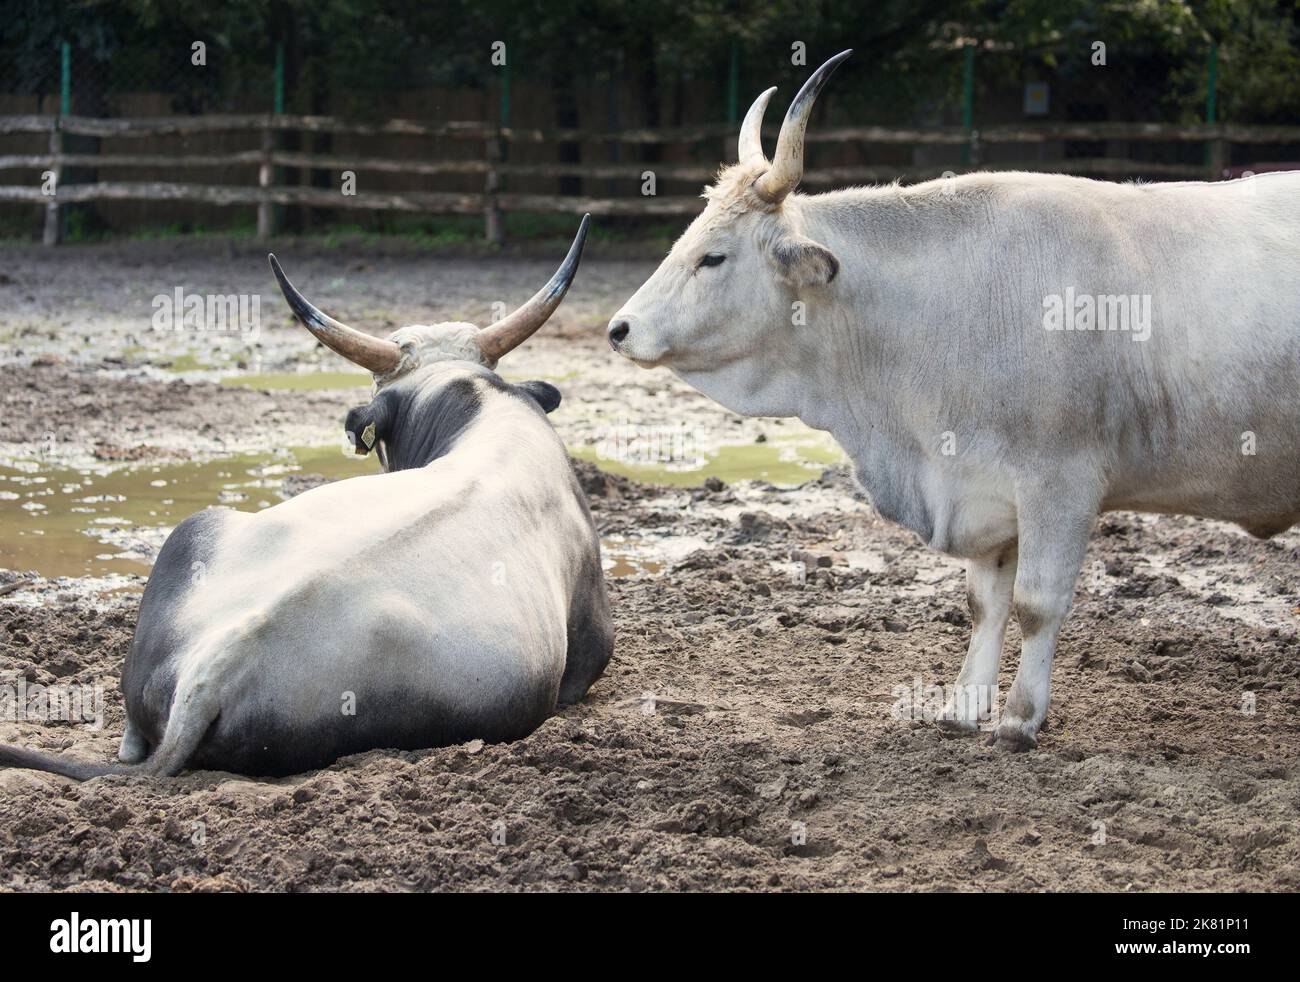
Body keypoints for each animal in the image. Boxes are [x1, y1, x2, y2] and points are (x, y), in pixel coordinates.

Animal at [607, 51, 1300, 750]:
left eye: (713, 257)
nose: (619, 329)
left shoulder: (1062, 482)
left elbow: (1035, 603)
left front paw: (1019, 717)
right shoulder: (981, 483)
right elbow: (984, 603)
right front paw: (965, 704)